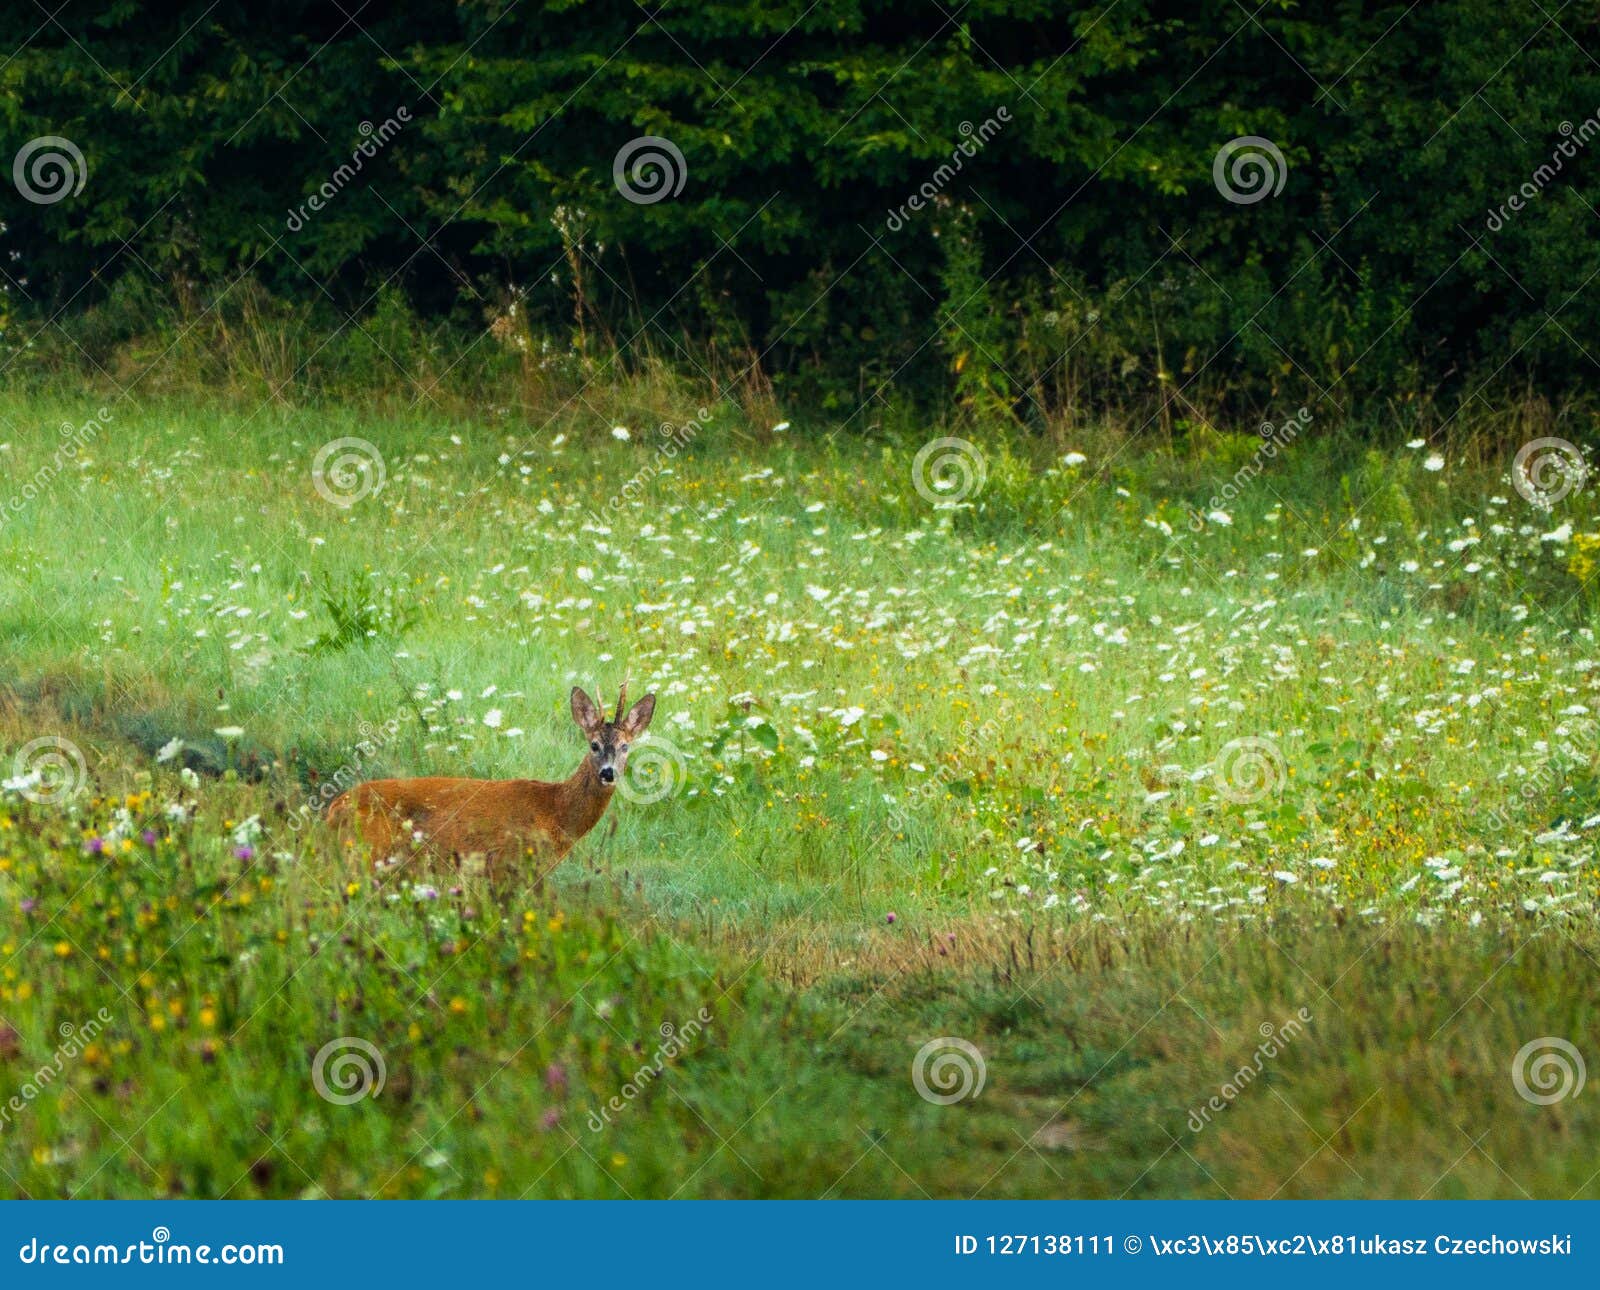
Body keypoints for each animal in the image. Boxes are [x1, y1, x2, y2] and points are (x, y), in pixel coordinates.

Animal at [326, 684, 656, 876]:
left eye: (626, 747)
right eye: (594, 745)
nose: (608, 773)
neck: (554, 811)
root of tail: (333, 809)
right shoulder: (507, 865)